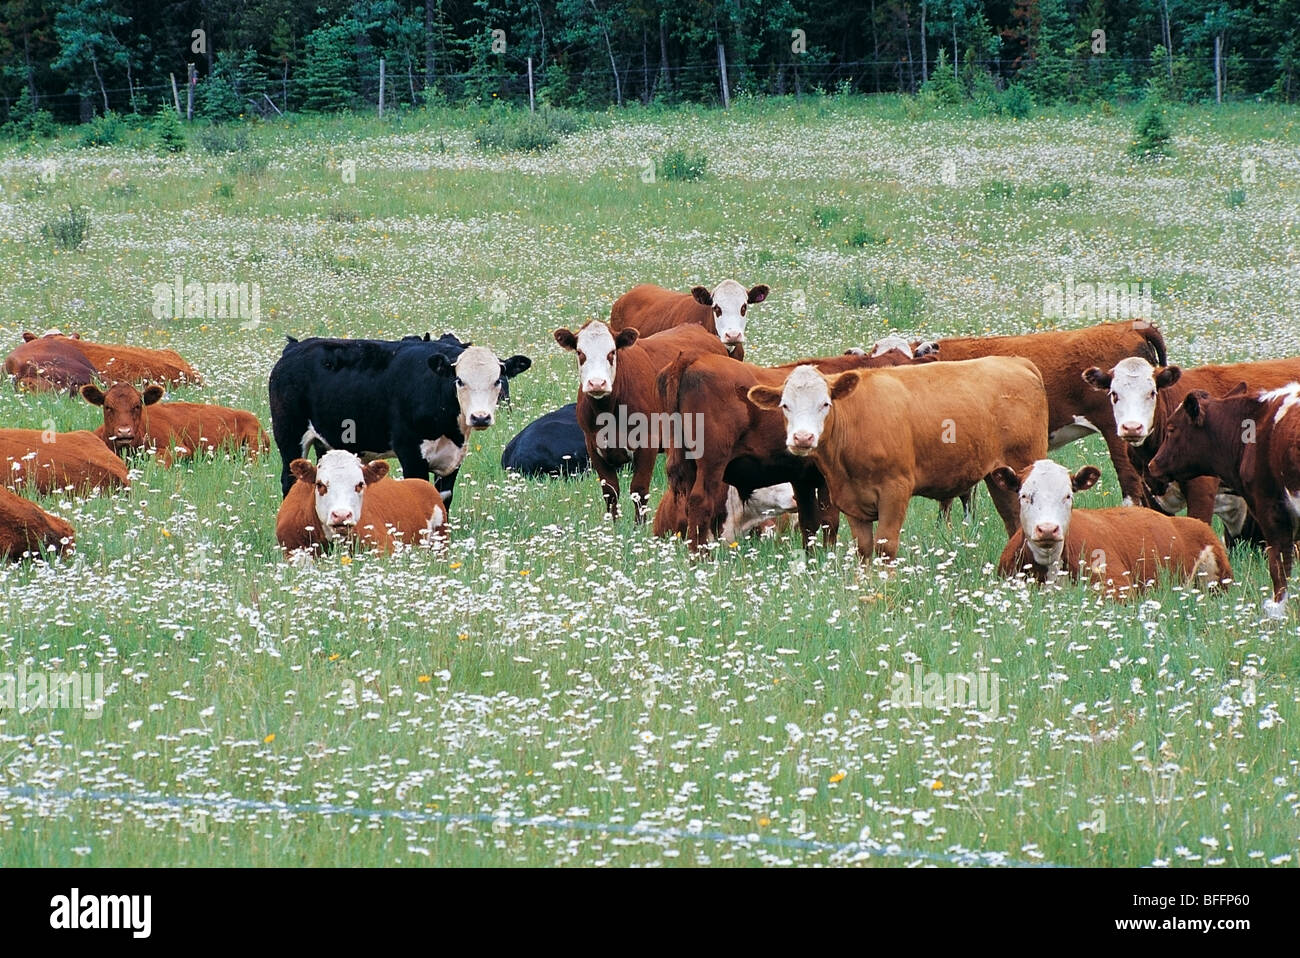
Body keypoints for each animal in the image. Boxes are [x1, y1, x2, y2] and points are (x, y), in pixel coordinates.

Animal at [268, 333, 531, 502]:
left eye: (497, 380)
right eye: (459, 380)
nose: (480, 418)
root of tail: (295, 347)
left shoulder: (453, 459)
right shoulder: (410, 452)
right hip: (289, 436)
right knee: (289, 481)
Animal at [553, 320, 732, 521]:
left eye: (612, 352)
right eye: (580, 352)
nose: (597, 383)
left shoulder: (647, 443)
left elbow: (639, 490)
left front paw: (639, 525)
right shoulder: (593, 446)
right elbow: (610, 492)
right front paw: (611, 525)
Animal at [656, 344, 939, 550]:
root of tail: (692, 357)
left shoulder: (803, 478)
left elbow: (809, 524)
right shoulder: (828, 480)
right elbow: (829, 521)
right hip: (711, 463)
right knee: (700, 503)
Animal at [746, 357, 1049, 563]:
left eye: (825, 404)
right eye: (785, 405)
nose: (802, 438)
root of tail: (1016, 361)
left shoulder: (895, 490)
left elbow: (885, 546)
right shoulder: (851, 500)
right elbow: (864, 548)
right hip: (1001, 479)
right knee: (1013, 523)